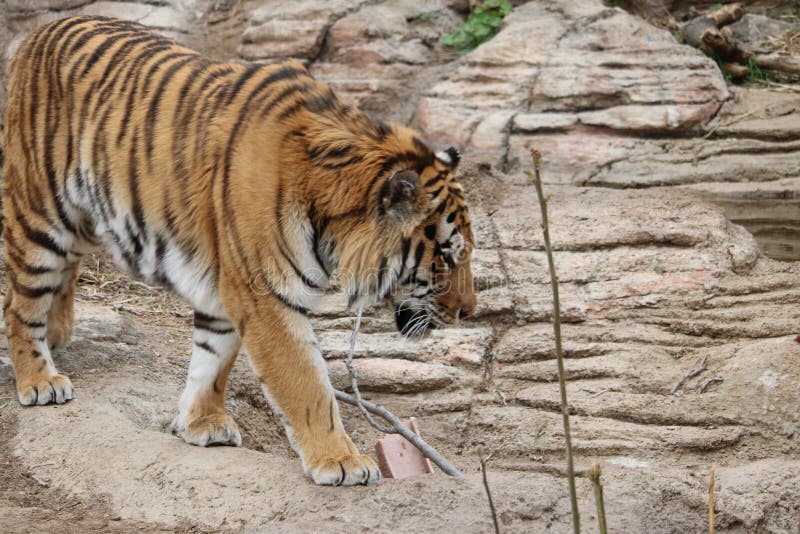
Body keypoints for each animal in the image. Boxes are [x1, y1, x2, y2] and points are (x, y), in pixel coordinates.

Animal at [2, 16, 477, 486]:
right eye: (445, 257)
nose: (468, 312)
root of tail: (41, 31)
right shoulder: (263, 294)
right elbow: (307, 384)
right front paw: (341, 461)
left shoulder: (226, 287)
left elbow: (213, 361)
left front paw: (202, 423)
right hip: (41, 216)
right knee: (19, 304)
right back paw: (40, 380)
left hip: (85, 219)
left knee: (65, 270)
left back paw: (58, 332)